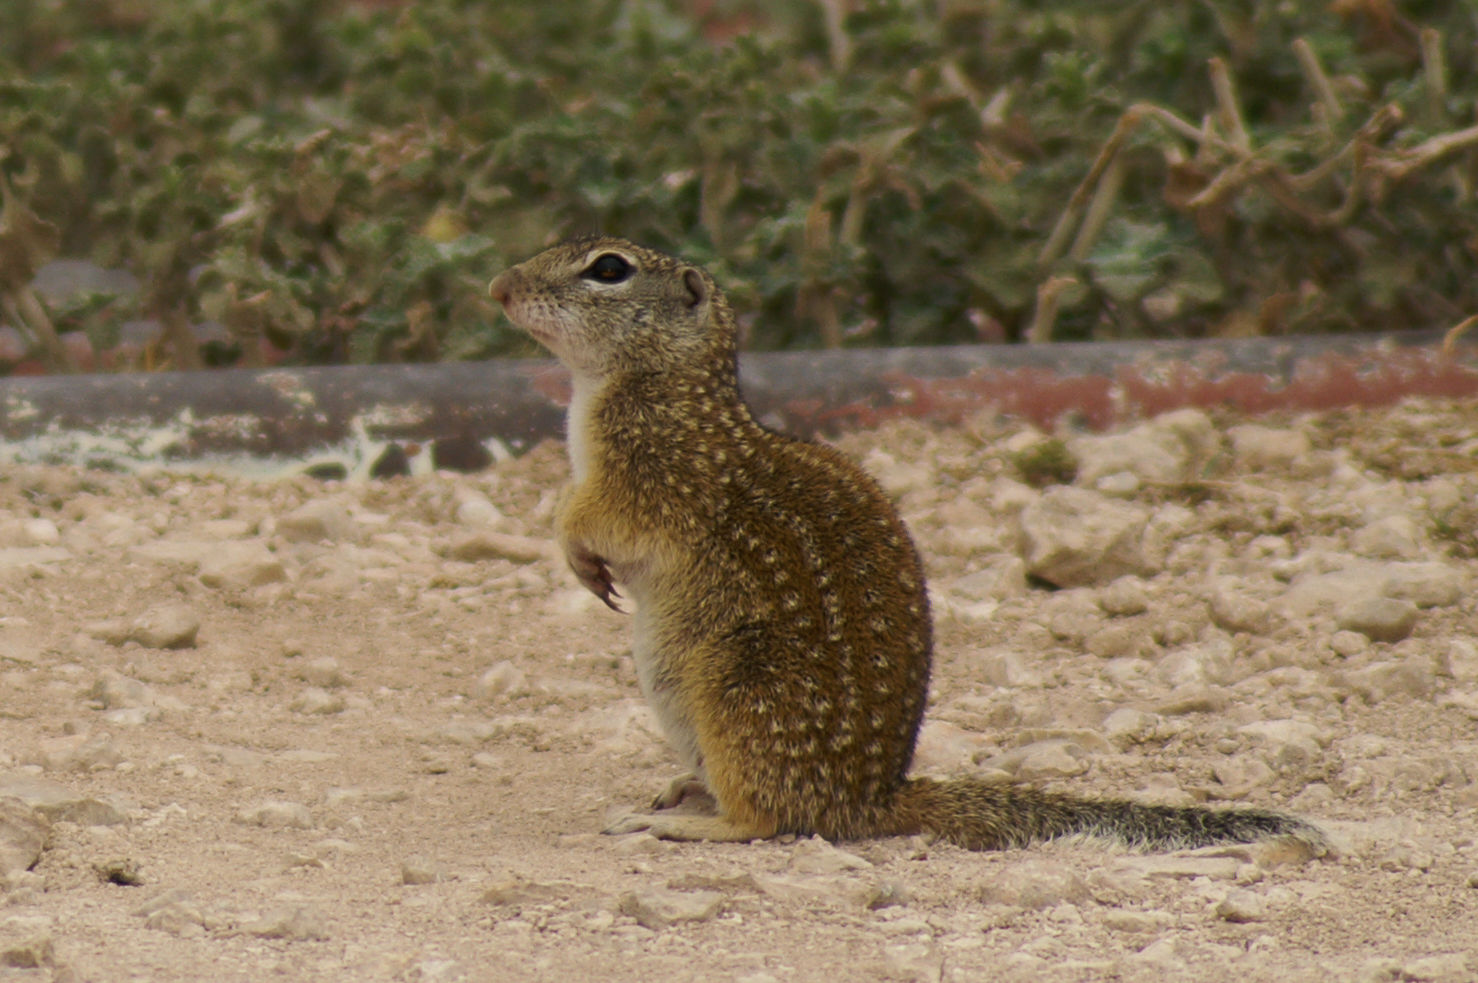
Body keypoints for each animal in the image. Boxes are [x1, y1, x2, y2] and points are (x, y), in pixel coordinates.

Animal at [489, 235, 1326, 854]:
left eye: (608, 269)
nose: (498, 286)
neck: (657, 381)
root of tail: (874, 799)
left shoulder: (650, 474)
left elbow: (590, 515)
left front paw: (573, 550)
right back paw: (685, 788)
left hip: (734, 683)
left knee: (770, 818)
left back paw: (686, 820)